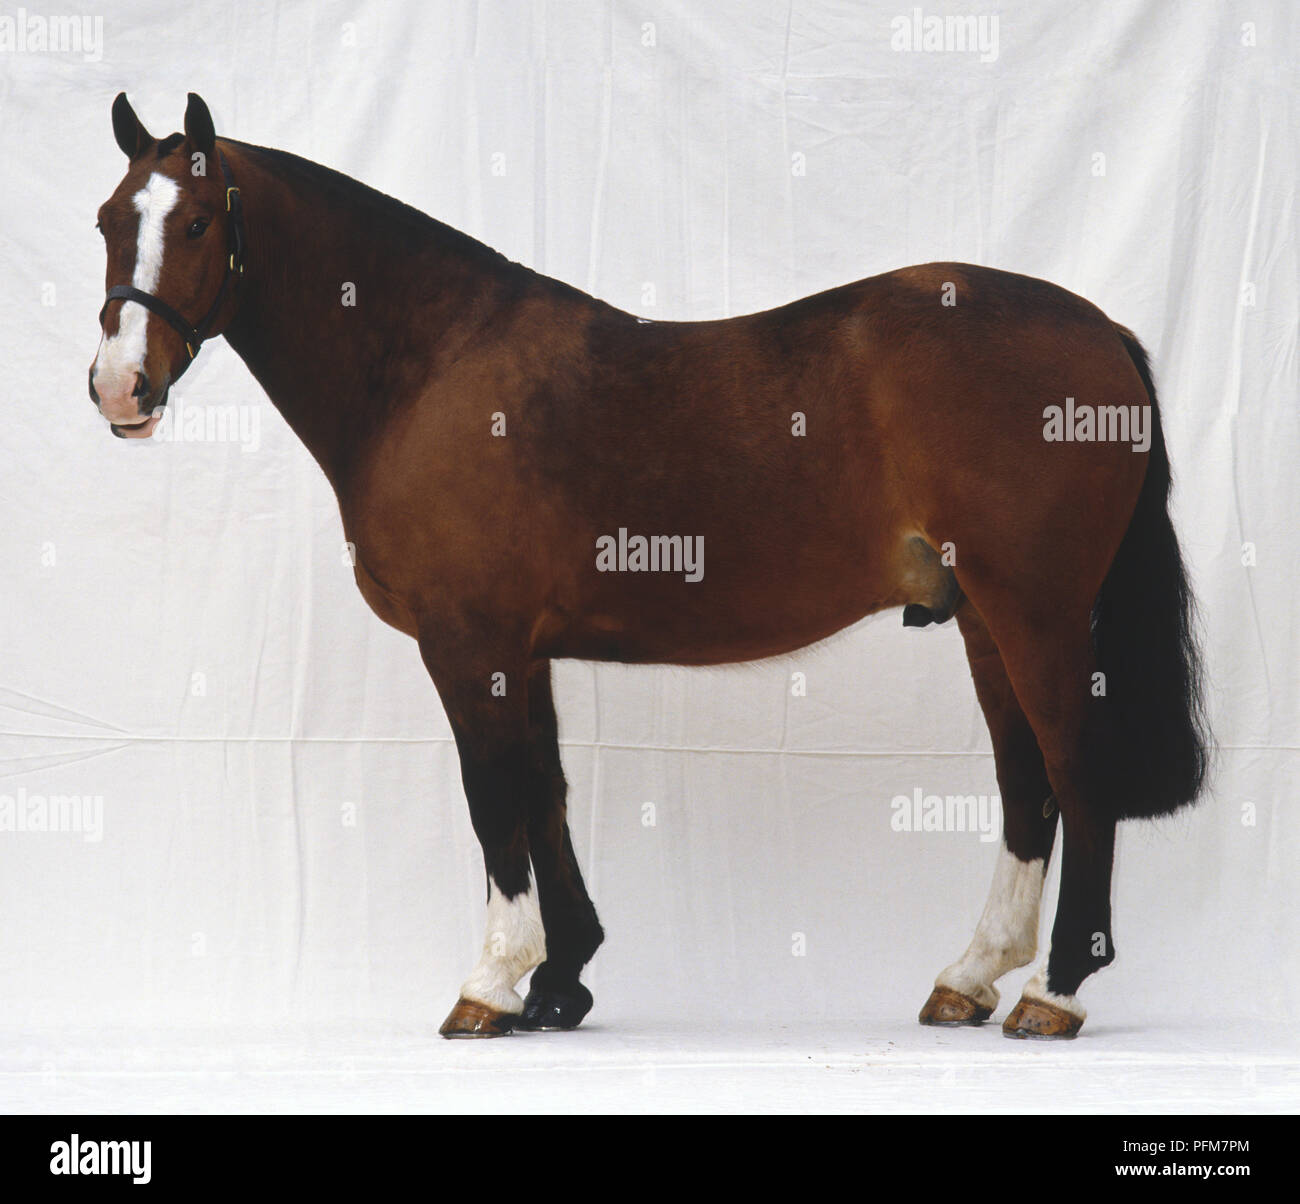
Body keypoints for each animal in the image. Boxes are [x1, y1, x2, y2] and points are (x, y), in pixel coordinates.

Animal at [88, 93, 1208, 1040]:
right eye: (107, 220)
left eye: (198, 223)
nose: (119, 387)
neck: (431, 364)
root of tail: (1098, 328)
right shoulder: (522, 651)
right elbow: (544, 794)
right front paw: (558, 982)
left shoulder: (467, 644)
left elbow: (494, 800)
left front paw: (490, 984)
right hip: (981, 615)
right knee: (1026, 786)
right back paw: (971, 978)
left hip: (1038, 612)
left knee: (1075, 773)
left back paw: (1054, 991)